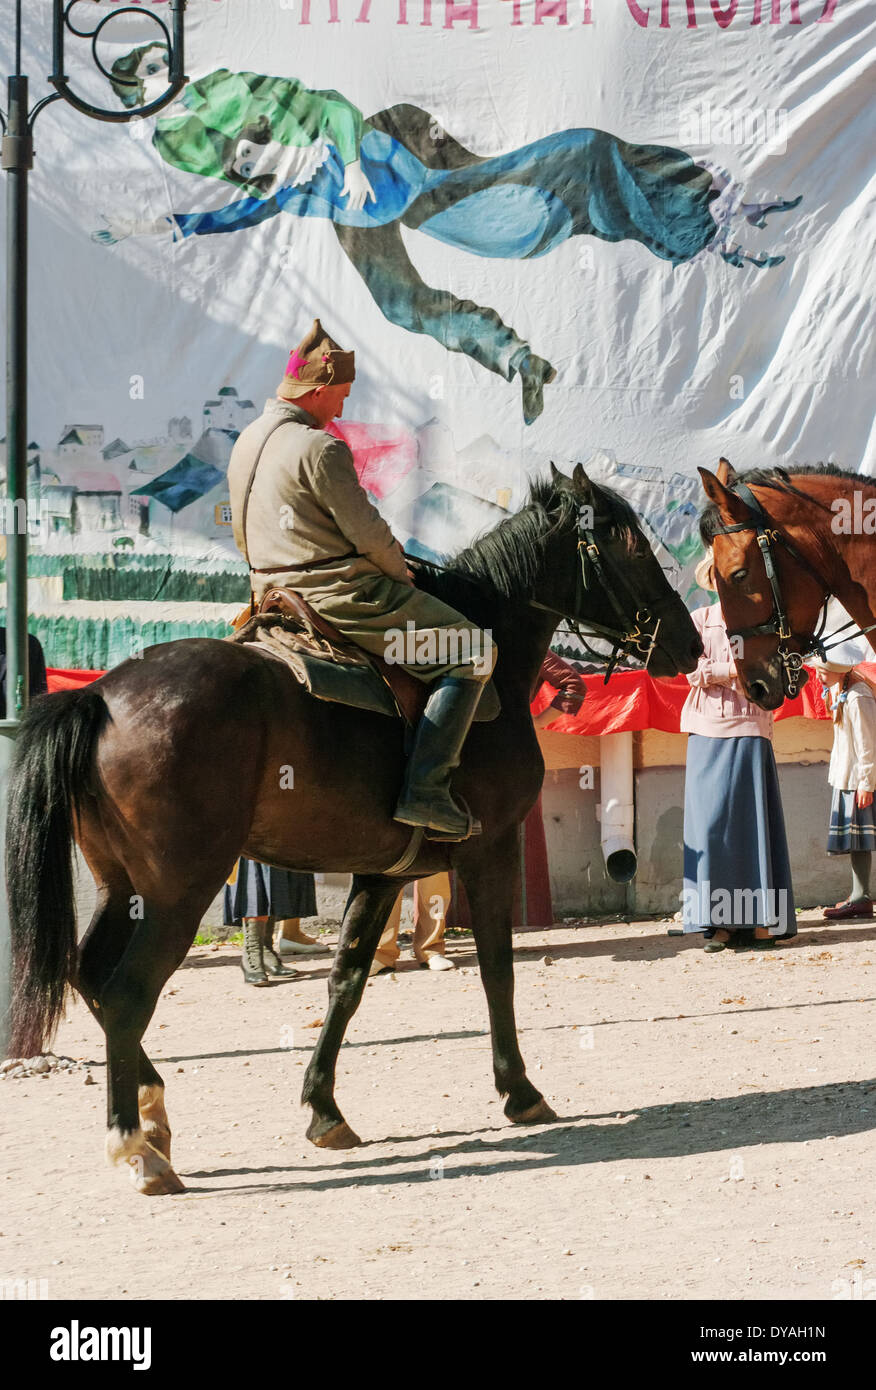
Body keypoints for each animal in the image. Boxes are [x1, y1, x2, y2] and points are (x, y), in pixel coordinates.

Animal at [5, 463, 702, 1195]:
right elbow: (496, 970)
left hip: (126, 887)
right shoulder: (491, 851)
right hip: (178, 893)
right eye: (629, 544)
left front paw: (324, 1108)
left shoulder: (381, 873)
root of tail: (100, 695)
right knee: (126, 993)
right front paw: (519, 1090)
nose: (689, 642)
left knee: (88, 974)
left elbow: (347, 981)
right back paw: (136, 1146)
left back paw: (154, 1111)